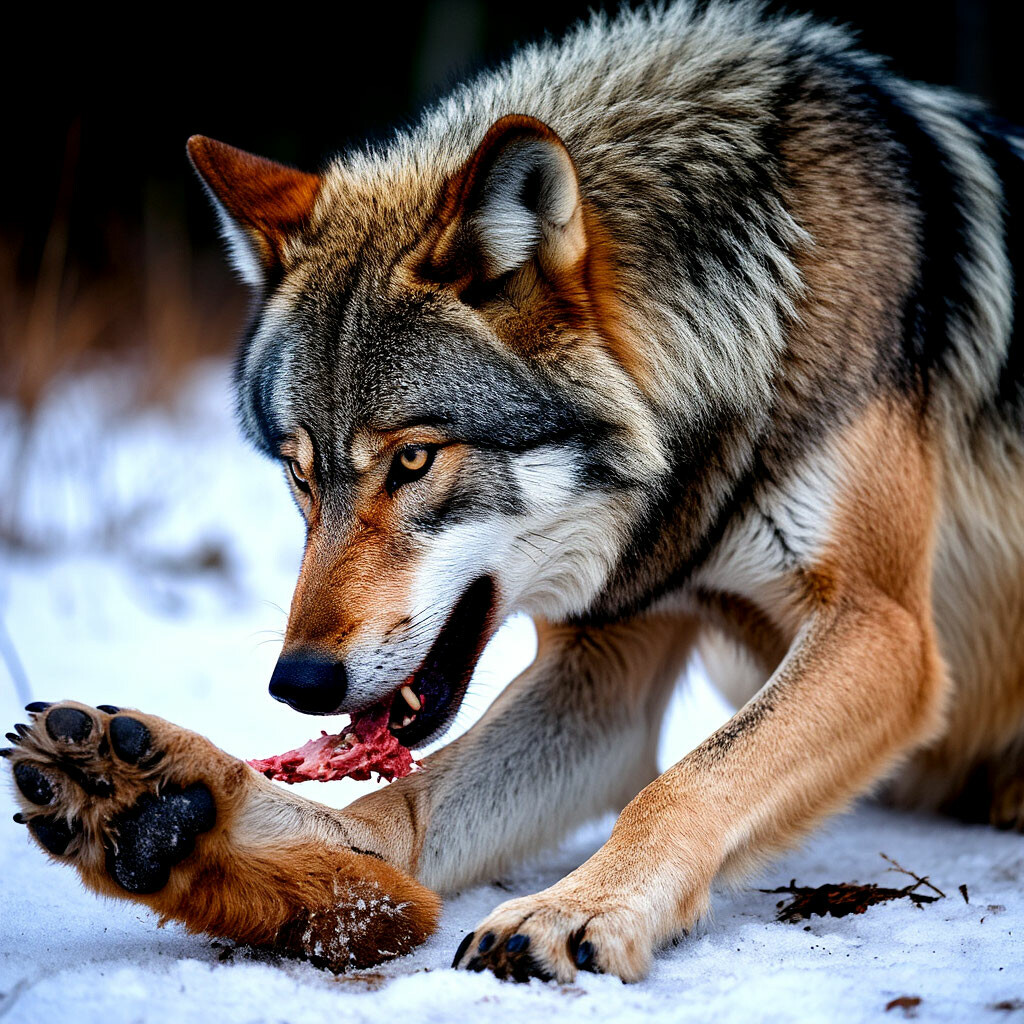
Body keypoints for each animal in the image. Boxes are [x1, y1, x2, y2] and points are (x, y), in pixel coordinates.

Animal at [7, 0, 1024, 982]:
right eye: (300, 473)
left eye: (415, 461)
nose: (297, 683)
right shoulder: (605, 668)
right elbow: (398, 814)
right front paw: (162, 815)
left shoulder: (883, 628)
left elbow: (685, 781)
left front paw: (572, 912)